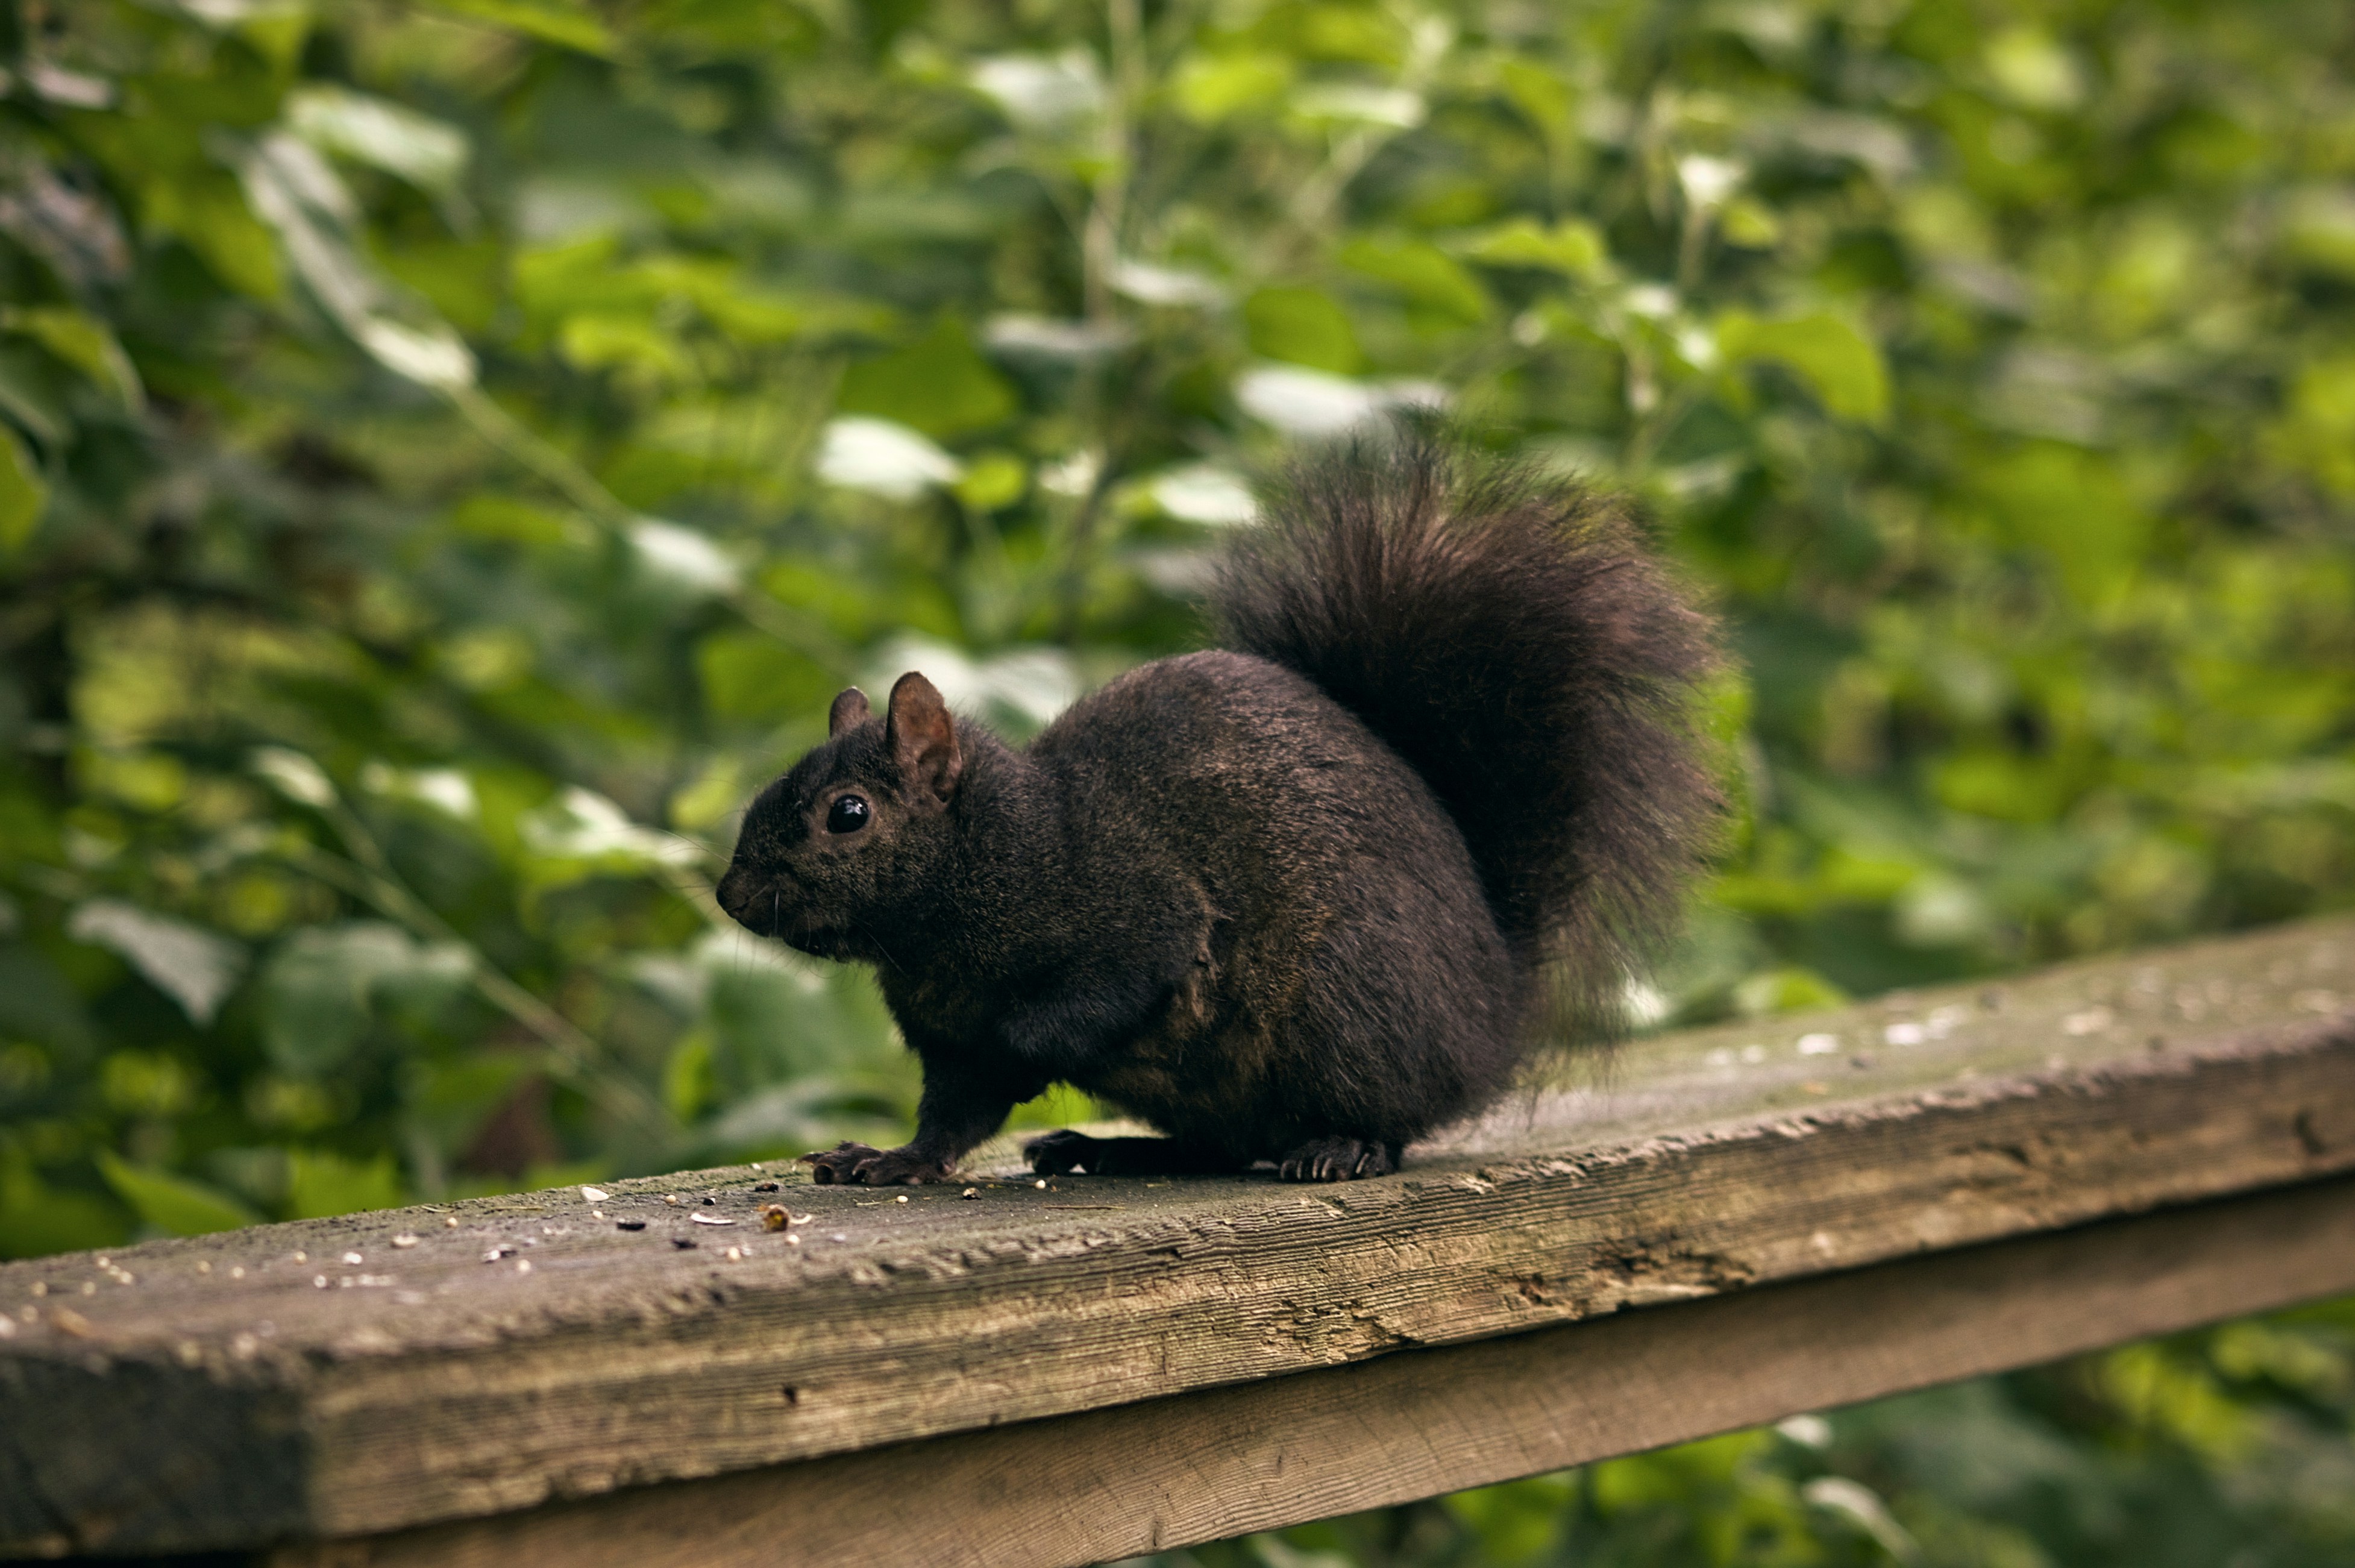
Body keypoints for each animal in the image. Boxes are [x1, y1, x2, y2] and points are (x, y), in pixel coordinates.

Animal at [715, 435, 1722, 1184]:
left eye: (848, 814)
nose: (731, 896)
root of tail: (1493, 1010)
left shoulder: (1140, 912)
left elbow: (1098, 995)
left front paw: (1030, 1049)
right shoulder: (947, 1041)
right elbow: (950, 1118)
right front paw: (892, 1158)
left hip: (1351, 1005)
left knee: (1382, 1123)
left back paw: (1337, 1145)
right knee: (1218, 1144)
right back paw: (1106, 1149)